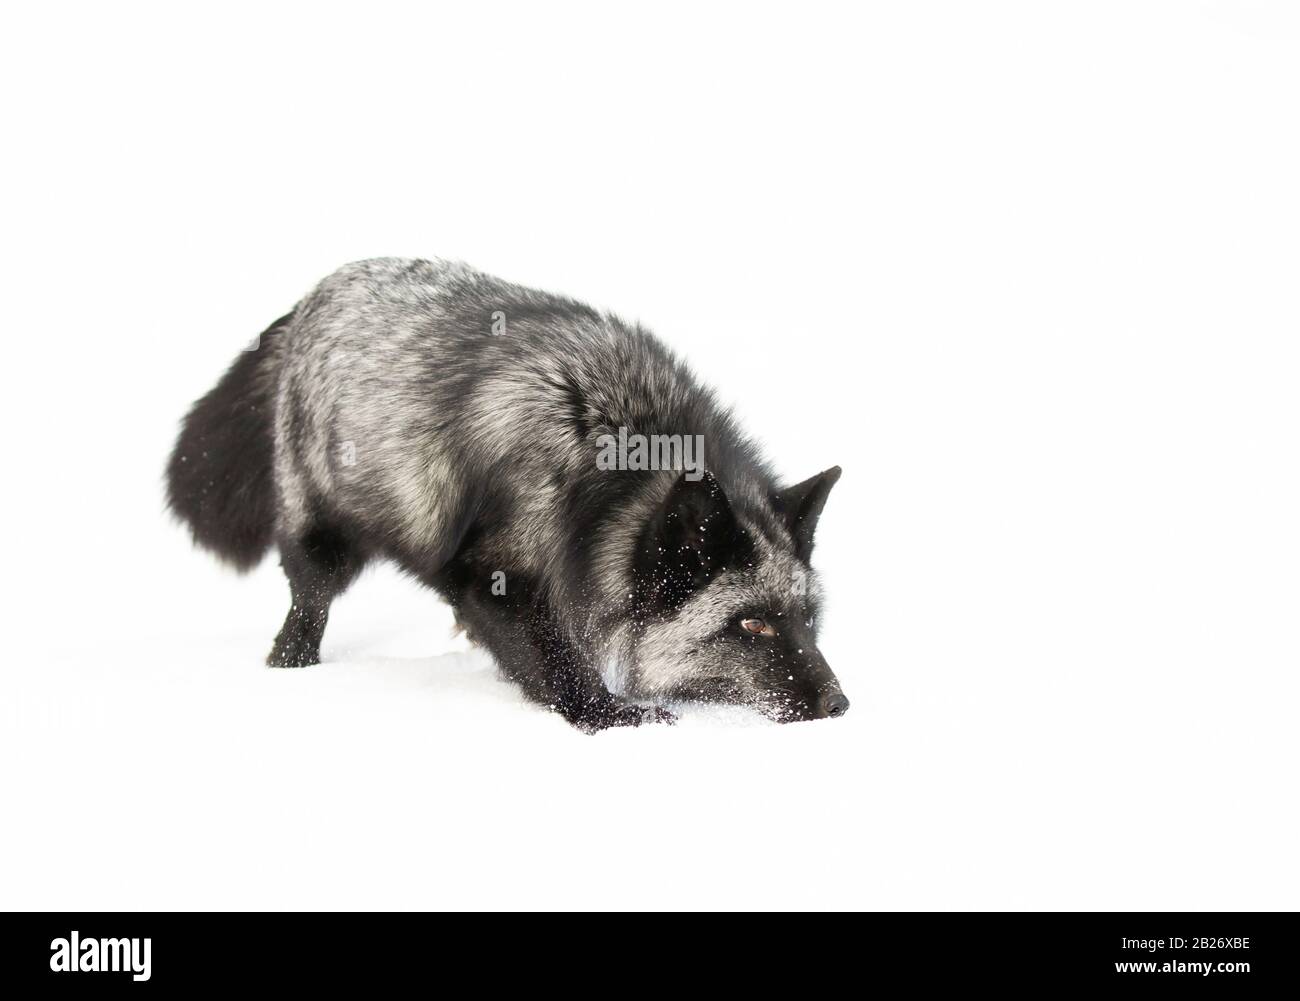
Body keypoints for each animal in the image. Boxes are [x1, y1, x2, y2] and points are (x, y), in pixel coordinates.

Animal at [166, 258, 846, 732]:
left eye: (808, 619)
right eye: (750, 624)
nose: (838, 703)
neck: (612, 468)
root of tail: (310, 298)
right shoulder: (486, 574)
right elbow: (554, 659)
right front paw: (608, 716)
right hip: (322, 534)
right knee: (307, 606)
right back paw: (293, 668)